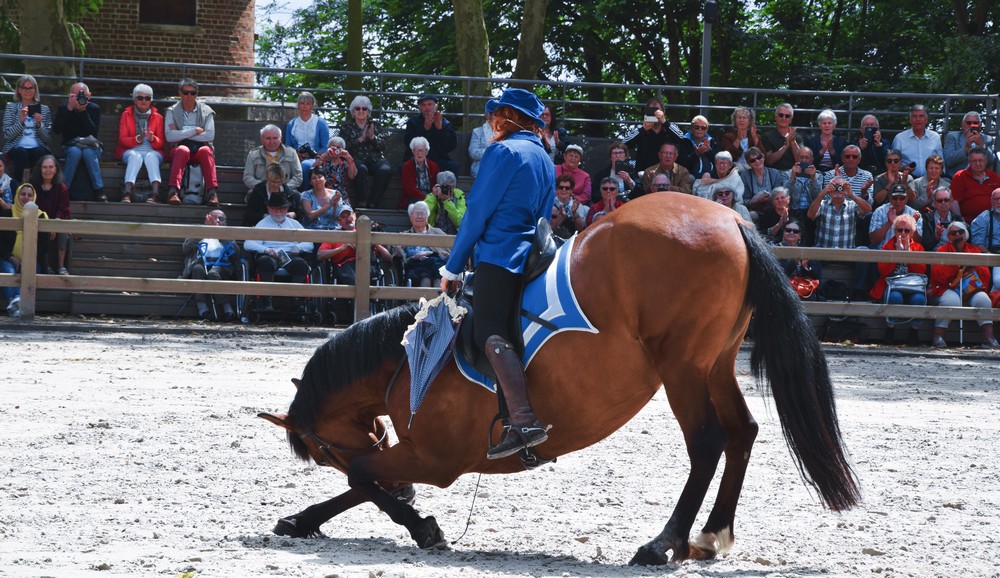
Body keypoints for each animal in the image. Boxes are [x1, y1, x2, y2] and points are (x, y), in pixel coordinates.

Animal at [259, 193, 860, 565]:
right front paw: (302, 518)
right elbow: (359, 482)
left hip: (683, 369)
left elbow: (362, 475)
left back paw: (662, 543)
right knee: (741, 434)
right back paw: (711, 535)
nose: (405, 492)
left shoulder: (432, 457)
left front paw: (420, 524)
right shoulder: (414, 456)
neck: (409, 357)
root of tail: (730, 218)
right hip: (713, 364)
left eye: (319, 449)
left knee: (708, 442)